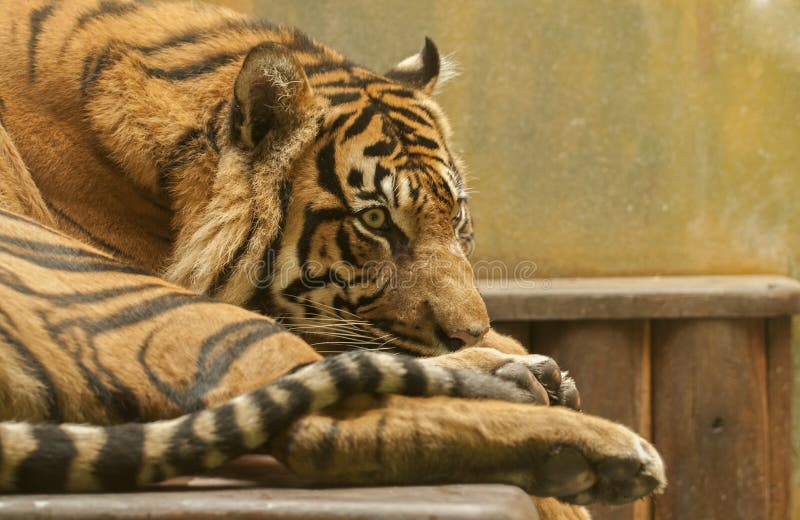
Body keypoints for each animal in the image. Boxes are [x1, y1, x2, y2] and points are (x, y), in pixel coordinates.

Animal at [0, 0, 666, 517]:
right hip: (113, 290)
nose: (467, 331)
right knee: (327, 423)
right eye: (375, 221)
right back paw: (592, 448)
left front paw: (510, 355)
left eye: (456, 216)